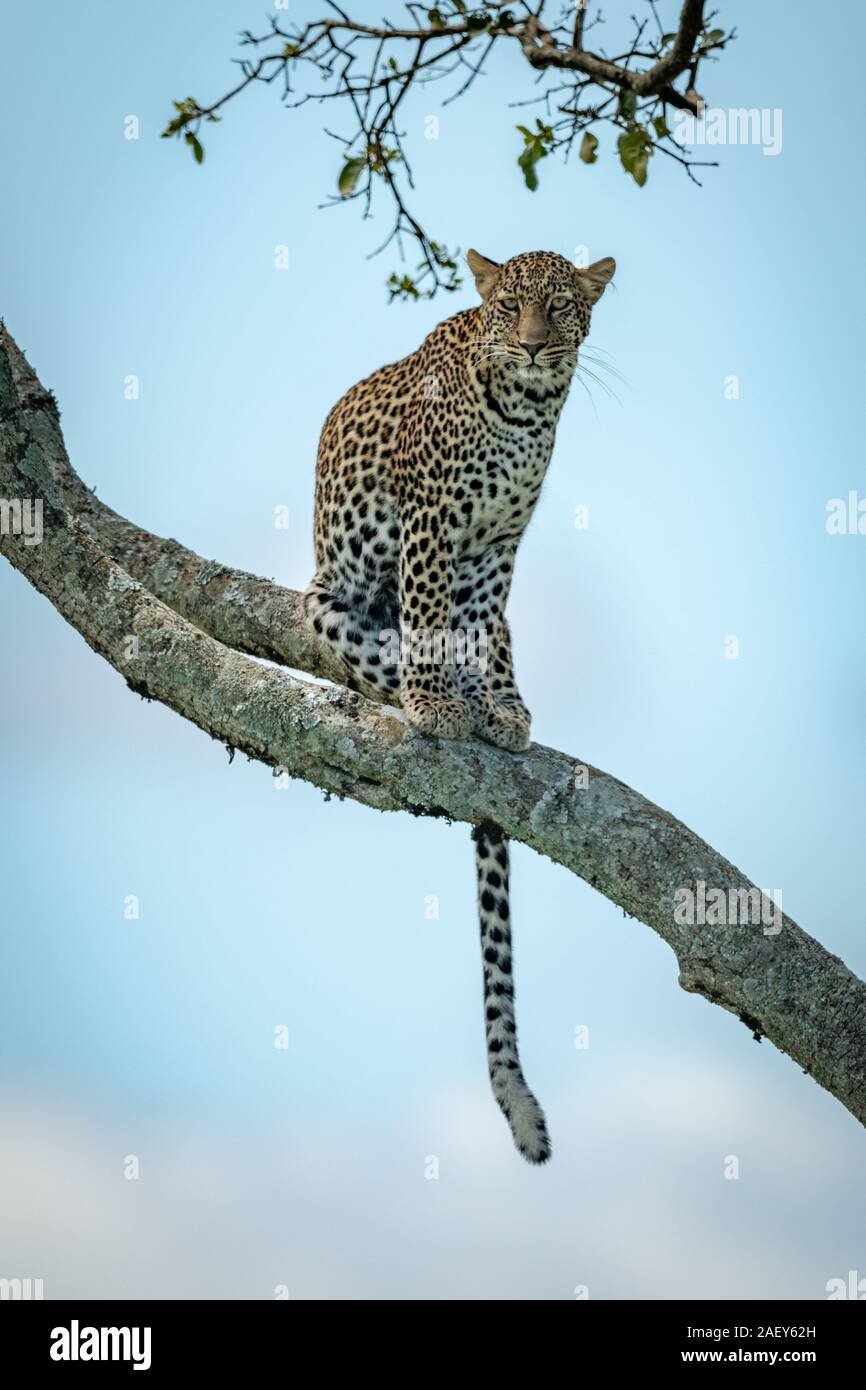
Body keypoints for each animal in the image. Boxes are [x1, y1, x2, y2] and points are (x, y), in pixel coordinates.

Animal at [304, 247, 616, 1163]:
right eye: (509, 306)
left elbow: (481, 627)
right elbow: (433, 613)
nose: (537, 344)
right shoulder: (432, 523)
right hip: (323, 599)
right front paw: (441, 702)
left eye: (560, 305)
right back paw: (421, 694)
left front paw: (496, 707)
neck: (525, 413)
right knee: (371, 651)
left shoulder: (498, 545)